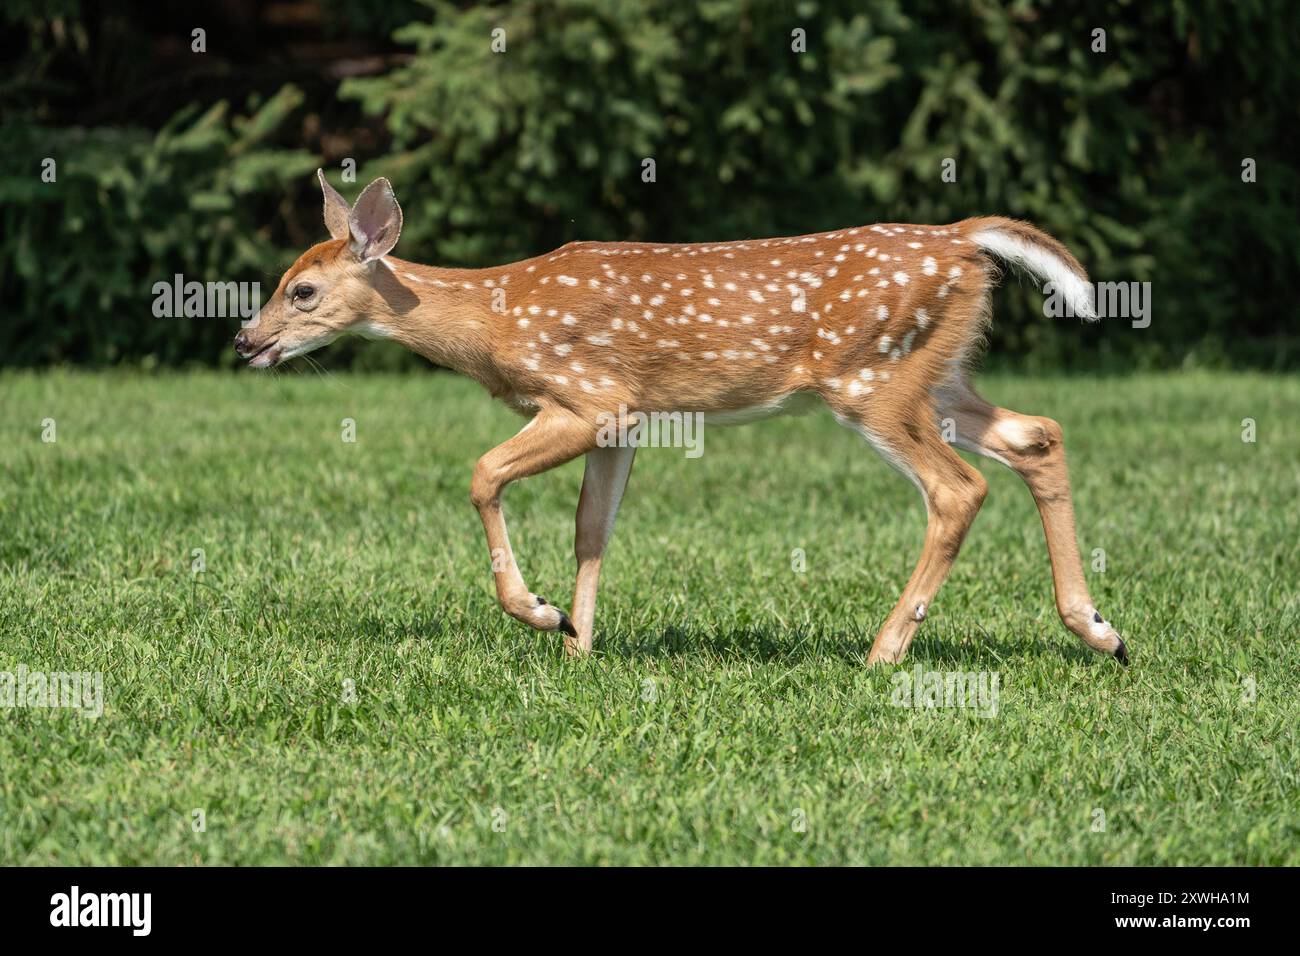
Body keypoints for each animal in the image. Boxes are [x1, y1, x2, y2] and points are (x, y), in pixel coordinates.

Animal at [233, 171, 1128, 666]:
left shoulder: (588, 395)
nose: (245, 340)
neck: (495, 320)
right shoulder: (621, 423)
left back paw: (881, 651)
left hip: (875, 379)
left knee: (959, 489)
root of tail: (963, 239)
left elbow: (484, 475)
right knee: (1037, 436)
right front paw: (578, 646)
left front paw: (540, 614)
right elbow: (592, 529)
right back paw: (1100, 631)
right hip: (938, 378)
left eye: (302, 291)